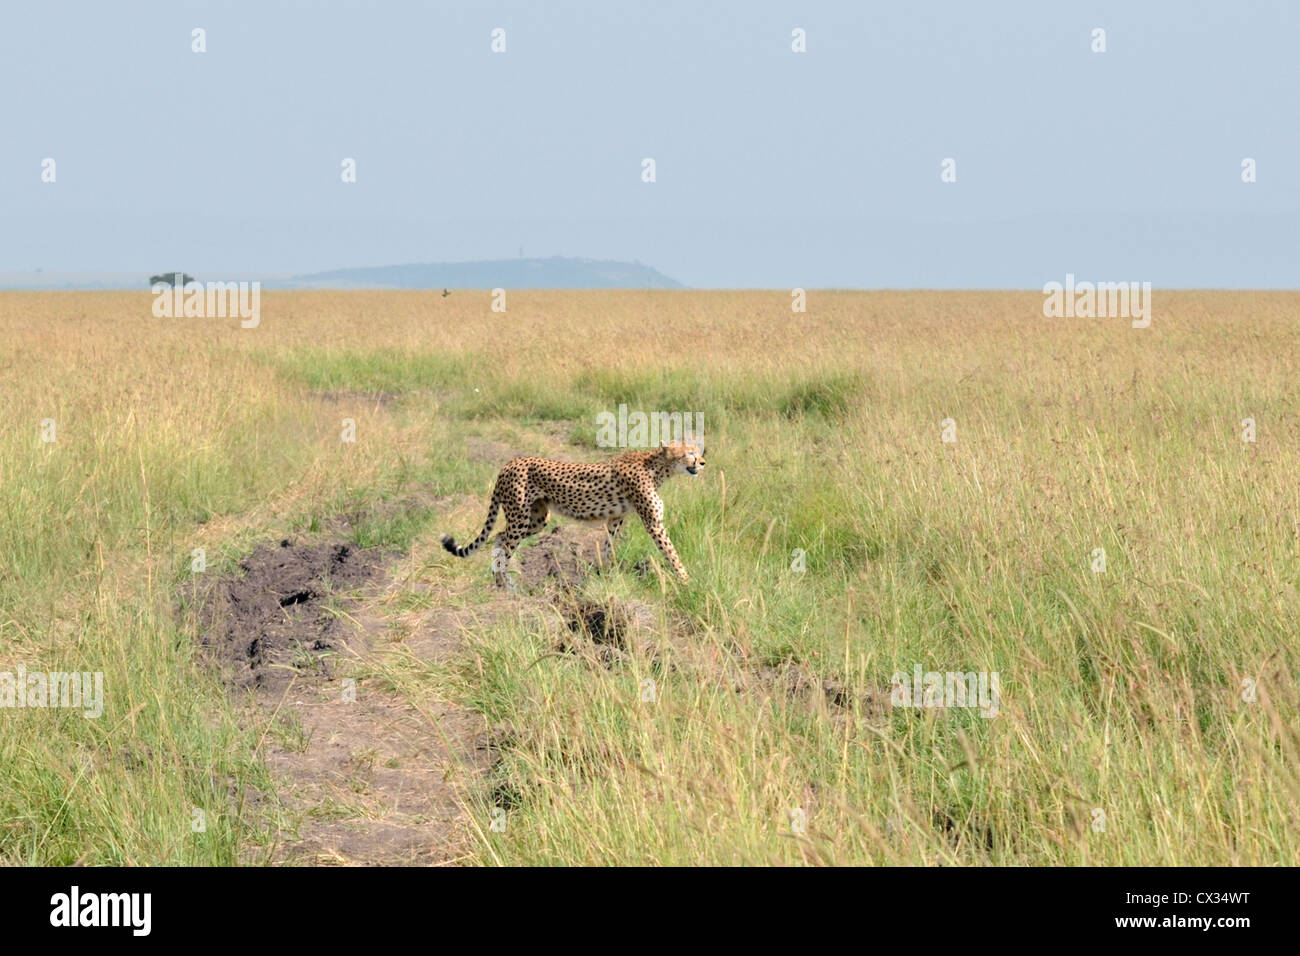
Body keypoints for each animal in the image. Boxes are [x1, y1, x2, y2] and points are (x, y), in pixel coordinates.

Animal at [441, 440, 706, 589]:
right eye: (690, 453)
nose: (703, 462)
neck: (658, 467)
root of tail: (509, 463)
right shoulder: (653, 523)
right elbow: (672, 554)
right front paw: (687, 581)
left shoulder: (615, 518)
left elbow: (608, 546)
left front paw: (604, 574)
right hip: (520, 518)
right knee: (504, 544)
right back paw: (504, 584)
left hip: (537, 519)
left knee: (497, 537)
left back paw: (501, 582)